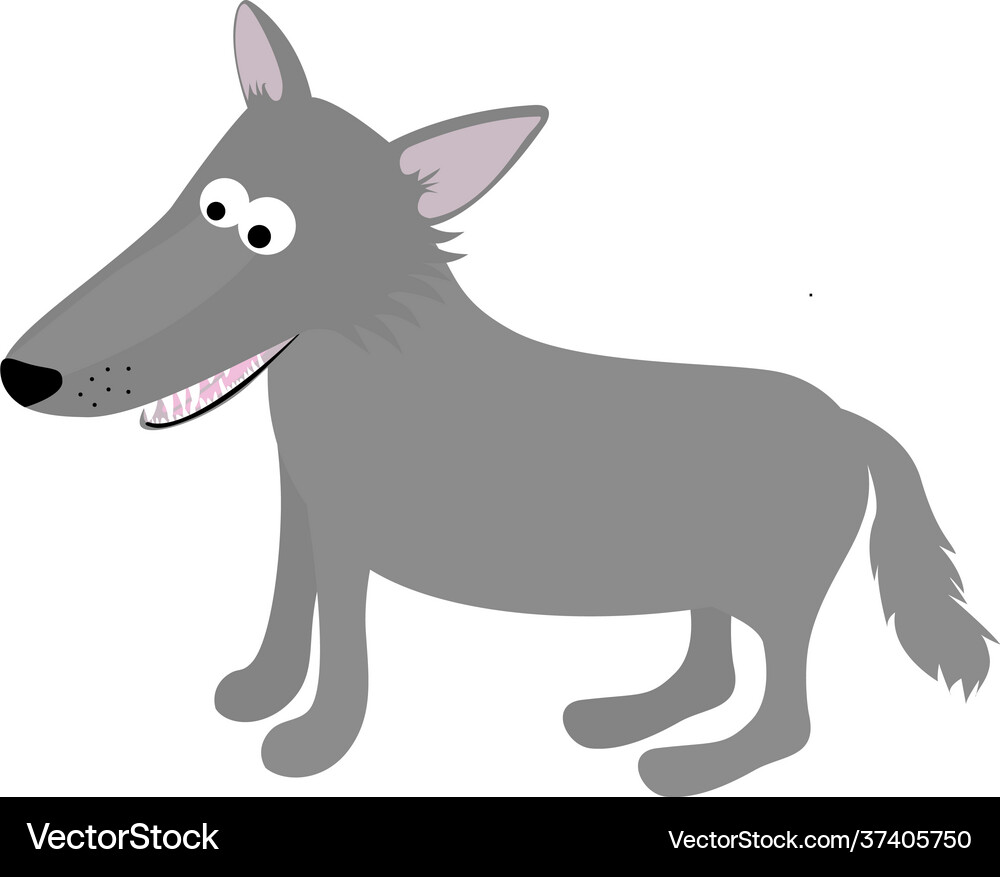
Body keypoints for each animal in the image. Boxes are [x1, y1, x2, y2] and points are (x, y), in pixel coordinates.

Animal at [2, 3, 994, 796]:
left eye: (261, 233)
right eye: (202, 200)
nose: (24, 376)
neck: (363, 363)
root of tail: (849, 421)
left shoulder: (350, 533)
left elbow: (345, 644)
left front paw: (315, 744)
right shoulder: (301, 509)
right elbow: (287, 605)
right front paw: (257, 693)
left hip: (774, 592)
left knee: (789, 718)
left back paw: (688, 766)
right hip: (704, 574)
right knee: (710, 673)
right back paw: (620, 720)